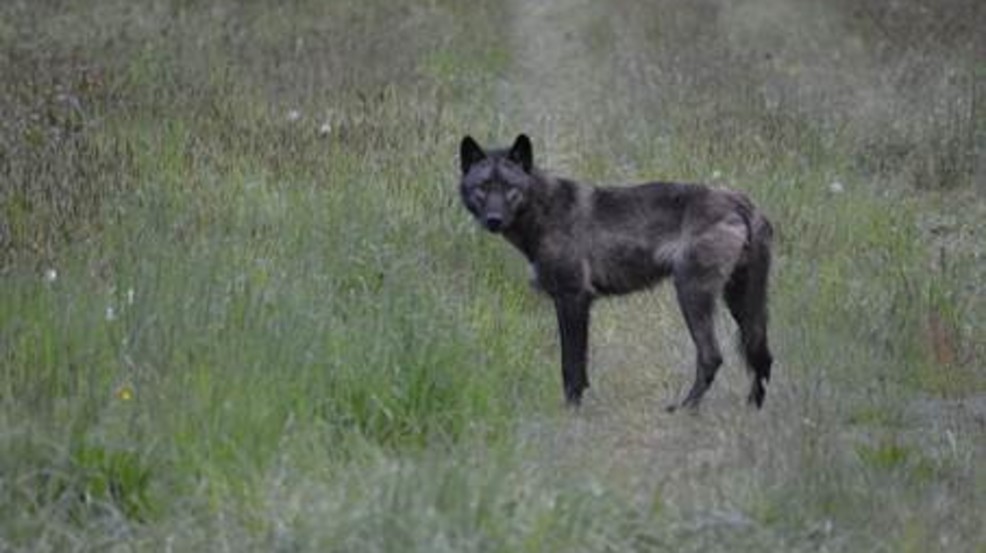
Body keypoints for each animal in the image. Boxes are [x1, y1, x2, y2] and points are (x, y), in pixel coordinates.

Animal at [458, 134, 774, 410]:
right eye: (483, 187)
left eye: (508, 188)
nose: (493, 220)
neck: (542, 211)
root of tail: (739, 201)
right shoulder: (571, 303)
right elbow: (577, 367)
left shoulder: (573, 299)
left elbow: (571, 367)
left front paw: (571, 413)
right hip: (740, 303)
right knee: (762, 357)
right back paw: (752, 411)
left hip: (692, 295)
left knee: (712, 356)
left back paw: (685, 409)